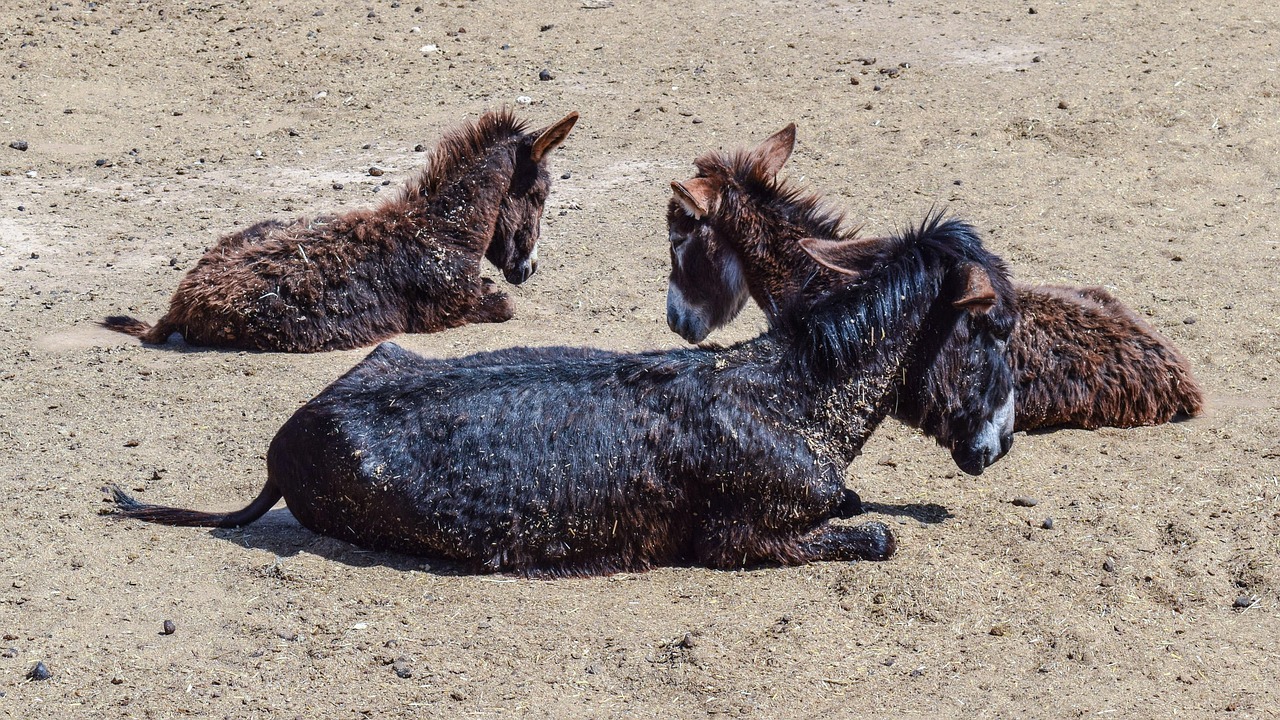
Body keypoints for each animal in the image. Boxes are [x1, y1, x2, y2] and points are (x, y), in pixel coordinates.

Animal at [101, 109, 578, 352]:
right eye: (540, 194)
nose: (529, 269)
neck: (443, 229)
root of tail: (181, 302)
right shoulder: (451, 310)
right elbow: (505, 304)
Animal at [108, 214, 1017, 577]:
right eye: (999, 329)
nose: (999, 445)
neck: (791, 395)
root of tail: (287, 440)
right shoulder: (737, 539)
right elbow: (874, 537)